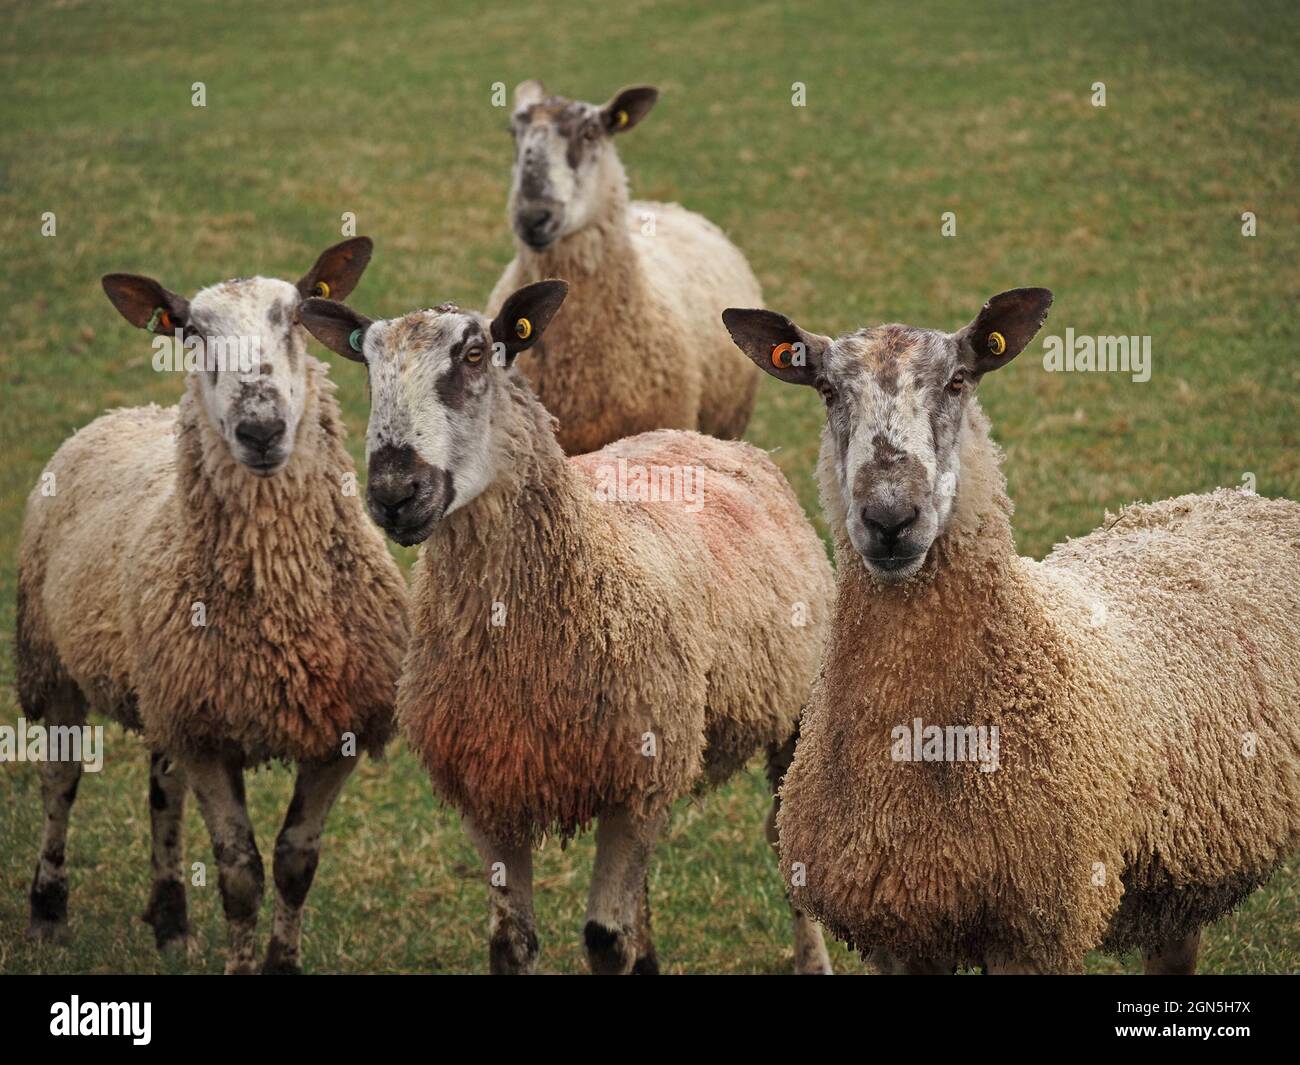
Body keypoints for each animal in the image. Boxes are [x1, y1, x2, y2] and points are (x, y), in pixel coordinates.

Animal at [16, 238, 409, 974]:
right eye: (192, 332)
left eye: (297, 317)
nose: (260, 427)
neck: (281, 607)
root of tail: (119, 415)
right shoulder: (207, 739)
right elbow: (239, 872)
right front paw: (241, 962)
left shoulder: (330, 730)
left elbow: (294, 864)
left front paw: (281, 963)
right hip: (51, 663)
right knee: (60, 782)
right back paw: (47, 912)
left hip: (164, 691)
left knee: (161, 793)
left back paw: (170, 920)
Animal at [299, 280, 835, 974]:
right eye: (367, 366)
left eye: (475, 354)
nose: (394, 493)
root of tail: (699, 437)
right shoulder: (491, 791)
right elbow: (512, 943)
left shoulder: (635, 784)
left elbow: (604, 939)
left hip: (792, 712)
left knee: (783, 845)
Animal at [722, 290, 1300, 974]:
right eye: (829, 391)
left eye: (957, 381)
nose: (889, 518)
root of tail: (1241, 499)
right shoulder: (895, 935)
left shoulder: (1036, 931)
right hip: (1183, 874)